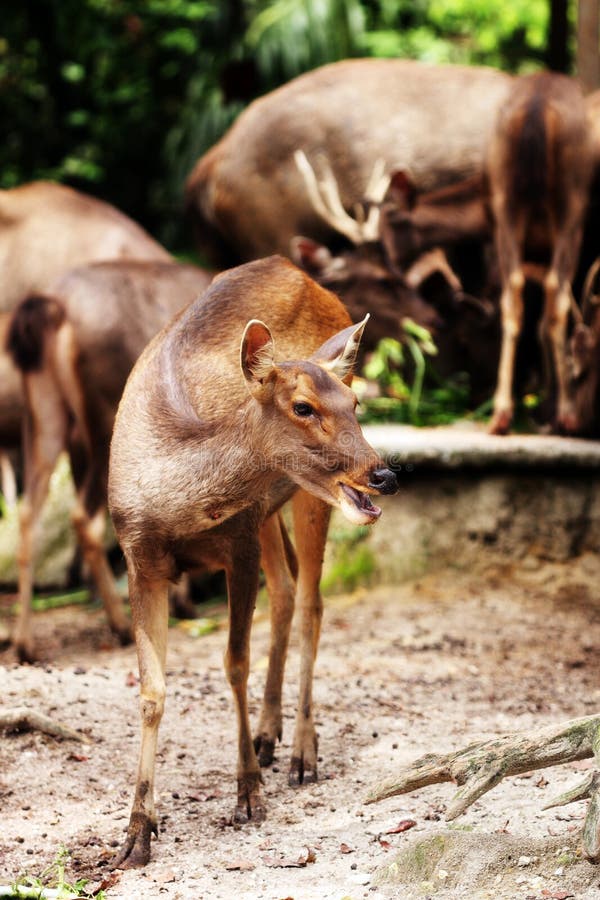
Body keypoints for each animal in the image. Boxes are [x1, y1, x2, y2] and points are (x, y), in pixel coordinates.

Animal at [6, 260, 214, 663]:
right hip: (106, 419)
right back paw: (119, 625)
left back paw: (25, 644)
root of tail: (51, 306)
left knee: (27, 514)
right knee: (83, 518)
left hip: (44, 416)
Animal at [107, 255, 397, 866]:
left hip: (305, 499)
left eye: (356, 405)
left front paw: (247, 795)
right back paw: (269, 735)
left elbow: (233, 662)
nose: (384, 474)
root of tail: (296, 268)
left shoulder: (236, 543)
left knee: (311, 600)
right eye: (303, 407)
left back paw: (302, 753)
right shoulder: (139, 557)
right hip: (271, 508)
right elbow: (151, 690)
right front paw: (137, 831)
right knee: (286, 589)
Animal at [486, 72, 595, 435]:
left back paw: (502, 412)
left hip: (505, 200)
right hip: (570, 206)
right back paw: (567, 411)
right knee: (555, 296)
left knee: (513, 294)